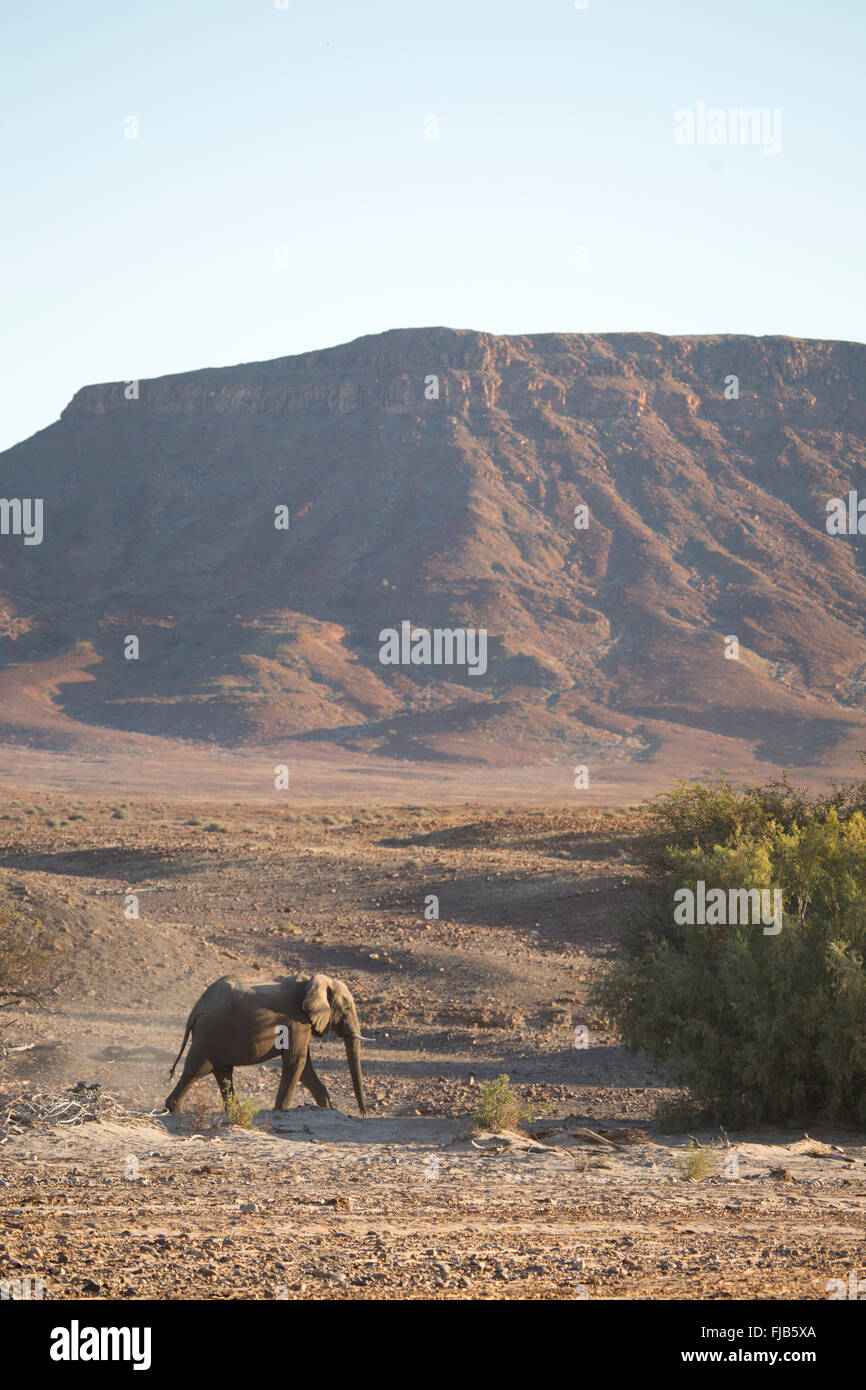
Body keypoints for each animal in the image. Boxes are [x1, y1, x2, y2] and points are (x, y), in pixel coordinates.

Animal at [164, 972, 368, 1115]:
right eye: (347, 1008)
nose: (364, 1114)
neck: (314, 981)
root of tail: (196, 1010)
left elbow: (305, 1068)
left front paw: (327, 1109)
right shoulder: (298, 1022)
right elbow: (296, 1061)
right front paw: (281, 1111)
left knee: (222, 1072)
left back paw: (233, 1111)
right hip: (210, 1033)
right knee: (197, 1070)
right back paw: (175, 1111)